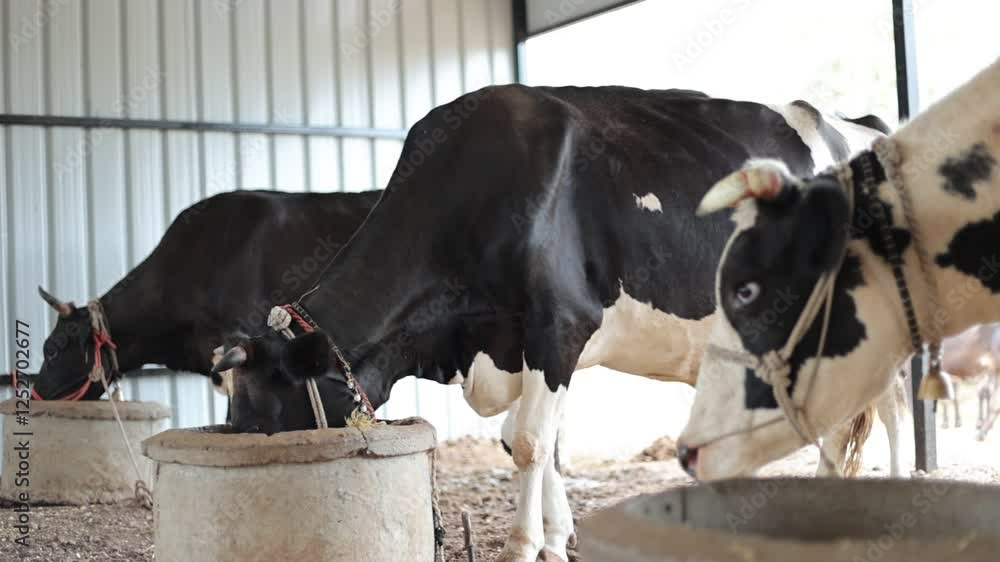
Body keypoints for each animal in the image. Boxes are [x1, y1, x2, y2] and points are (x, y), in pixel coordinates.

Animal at [210, 83, 891, 562]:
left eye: (266, 417)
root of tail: (862, 125)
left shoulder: (559, 325)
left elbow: (533, 442)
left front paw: (521, 546)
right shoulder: (522, 345)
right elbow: (525, 438)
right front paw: (559, 540)